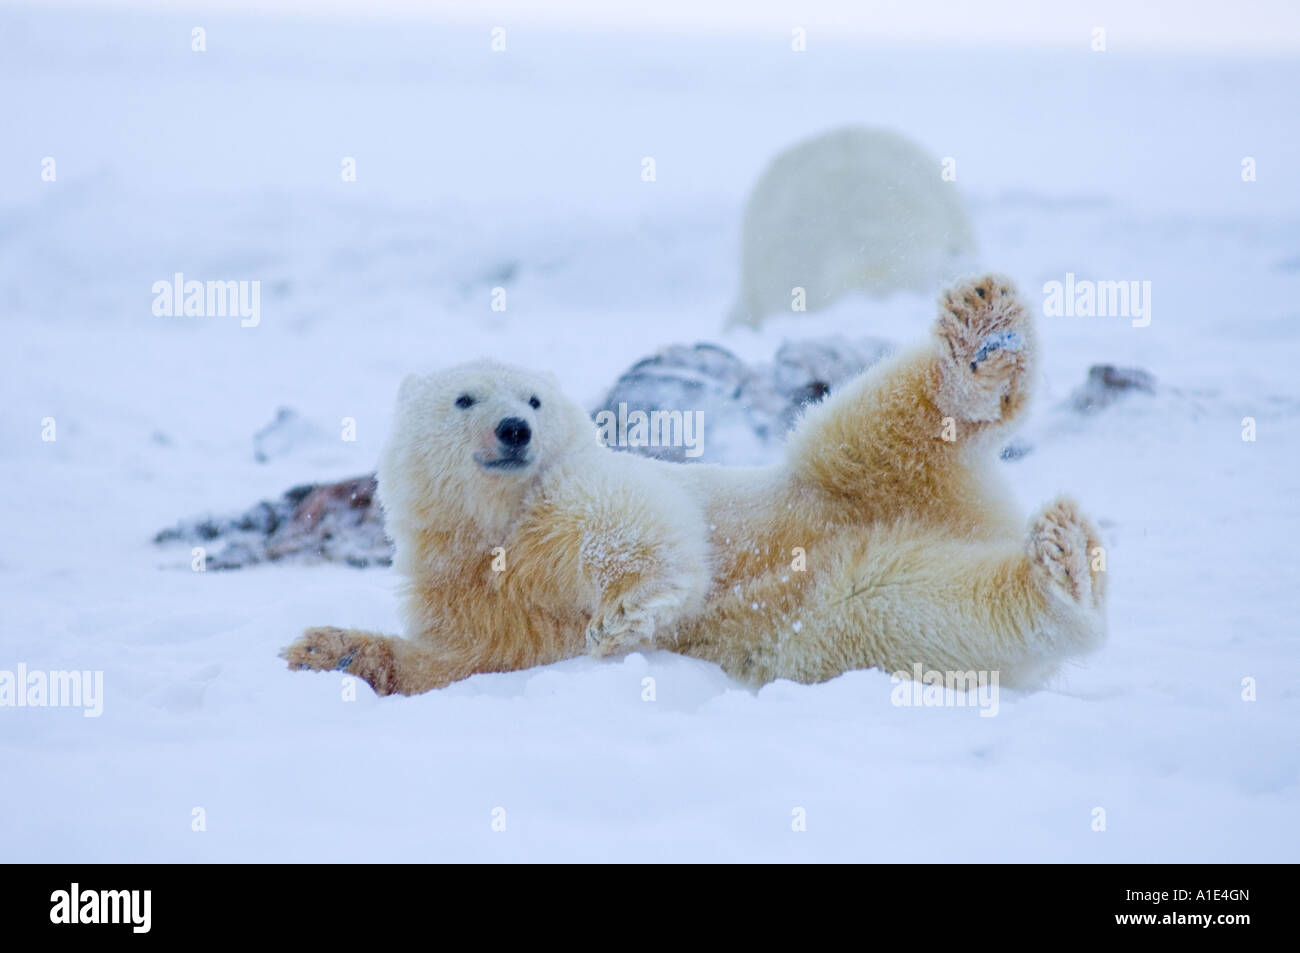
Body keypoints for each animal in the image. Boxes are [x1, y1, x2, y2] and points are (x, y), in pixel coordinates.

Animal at [282, 274, 1107, 695]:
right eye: (465, 398)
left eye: (535, 399)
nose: (513, 429)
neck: (494, 531)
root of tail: (970, 514)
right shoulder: (466, 598)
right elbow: (462, 660)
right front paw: (329, 651)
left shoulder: (578, 486)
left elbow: (635, 520)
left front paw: (624, 615)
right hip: (838, 612)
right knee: (923, 603)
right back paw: (1058, 568)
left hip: (836, 478)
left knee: (875, 425)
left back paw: (979, 346)